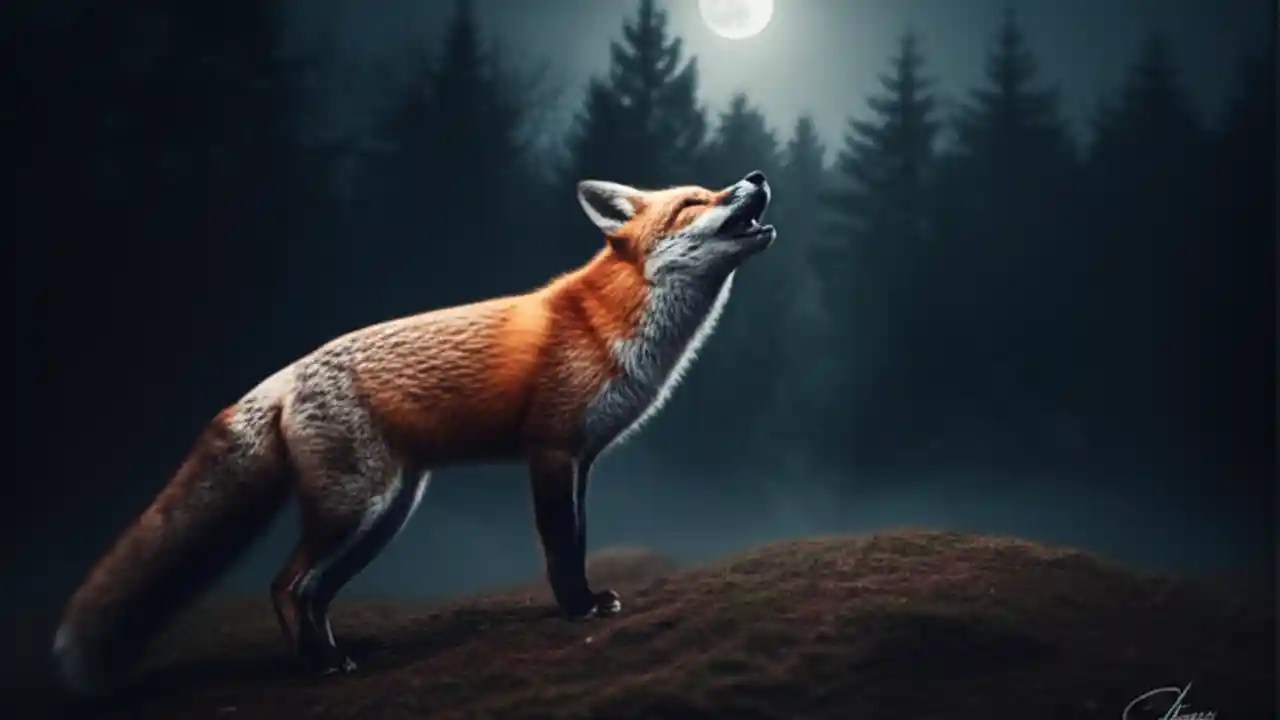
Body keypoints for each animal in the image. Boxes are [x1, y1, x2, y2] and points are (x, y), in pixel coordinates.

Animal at [53, 170, 776, 695]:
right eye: (695, 201)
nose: (757, 176)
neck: (608, 323)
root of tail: (283, 375)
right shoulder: (548, 450)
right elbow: (561, 547)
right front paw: (577, 608)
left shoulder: (582, 460)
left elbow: (578, 537)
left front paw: (585, 601)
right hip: (357, 507)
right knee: (285, 584)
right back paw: (319, 667)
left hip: (386, 513)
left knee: (310, 590)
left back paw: (333, 654)